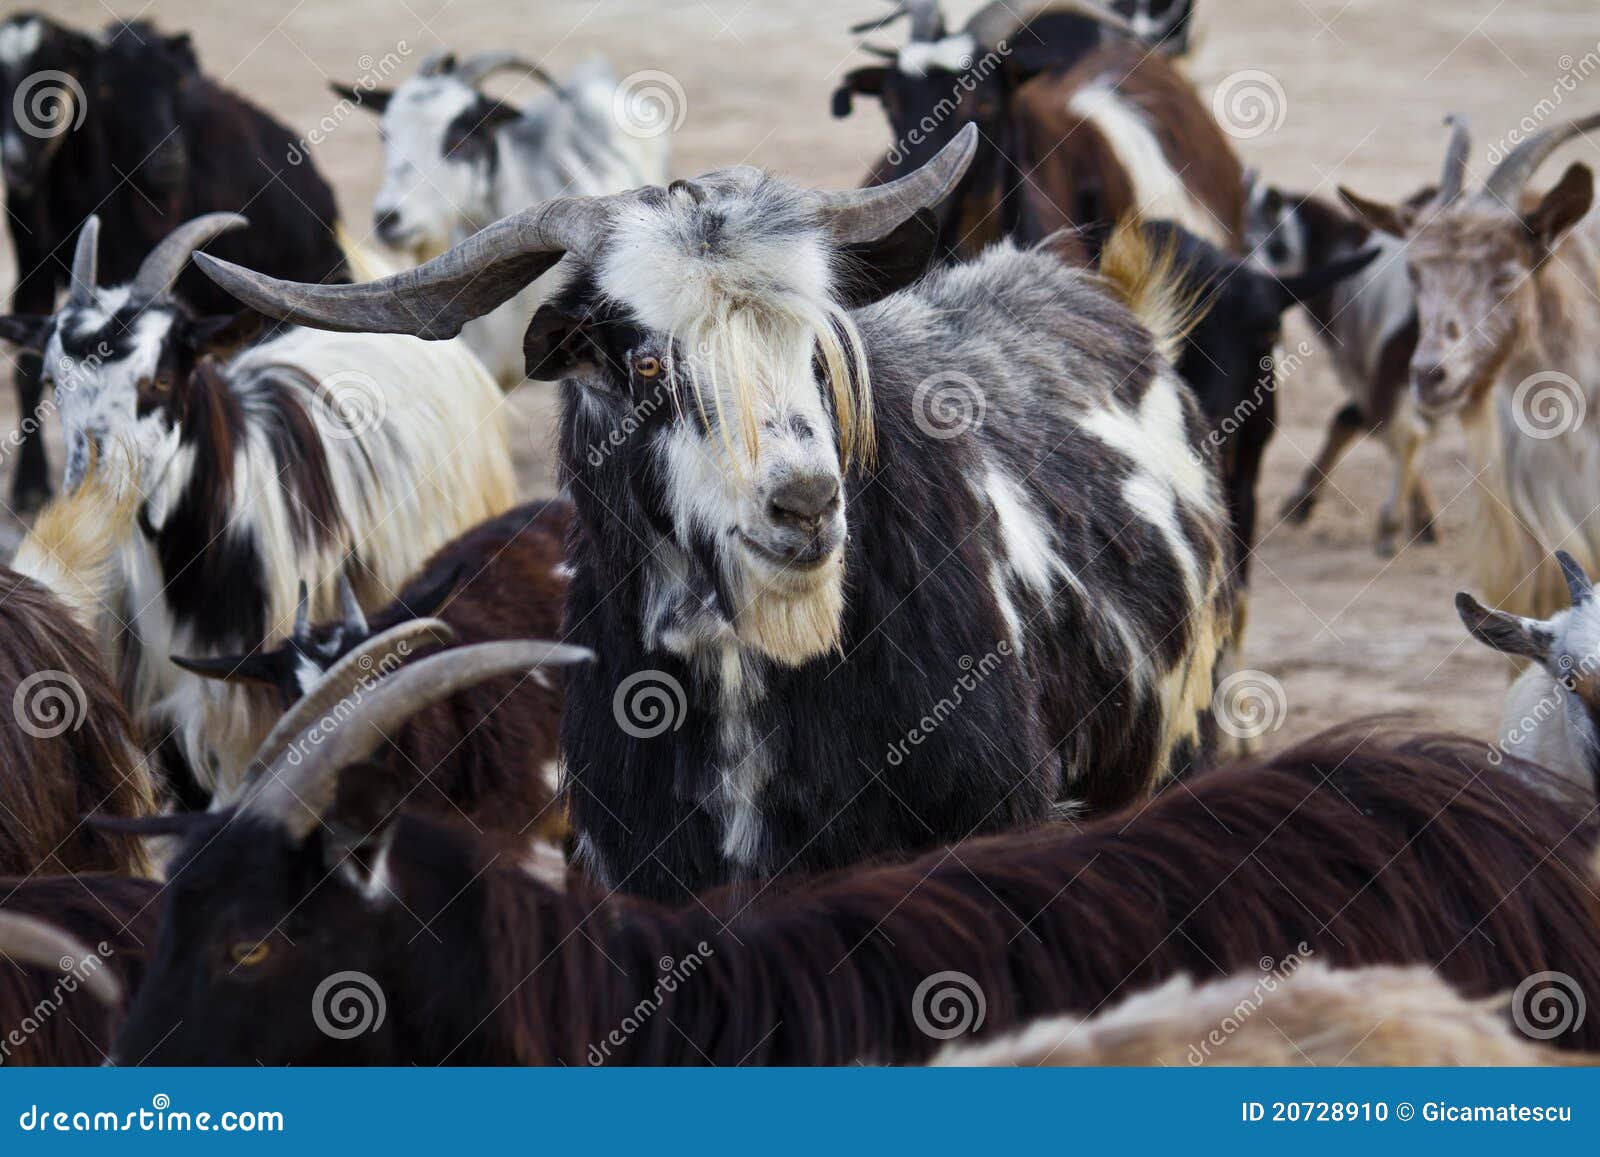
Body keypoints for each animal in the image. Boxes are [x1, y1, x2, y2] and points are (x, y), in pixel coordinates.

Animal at [0, 14, 353, 512]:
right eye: (107, 89)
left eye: (178, 83)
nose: (17, 161)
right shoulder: (34, 261)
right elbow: (28, 369)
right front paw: (29, 486)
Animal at [1245, 175, 1434, 555]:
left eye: (1275, 245)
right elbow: (1357, 420)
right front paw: (1424, 519)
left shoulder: (1366, 363)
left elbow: (1360, 420)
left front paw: (1299, 503)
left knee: (1407, 431)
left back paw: (1389, 527)